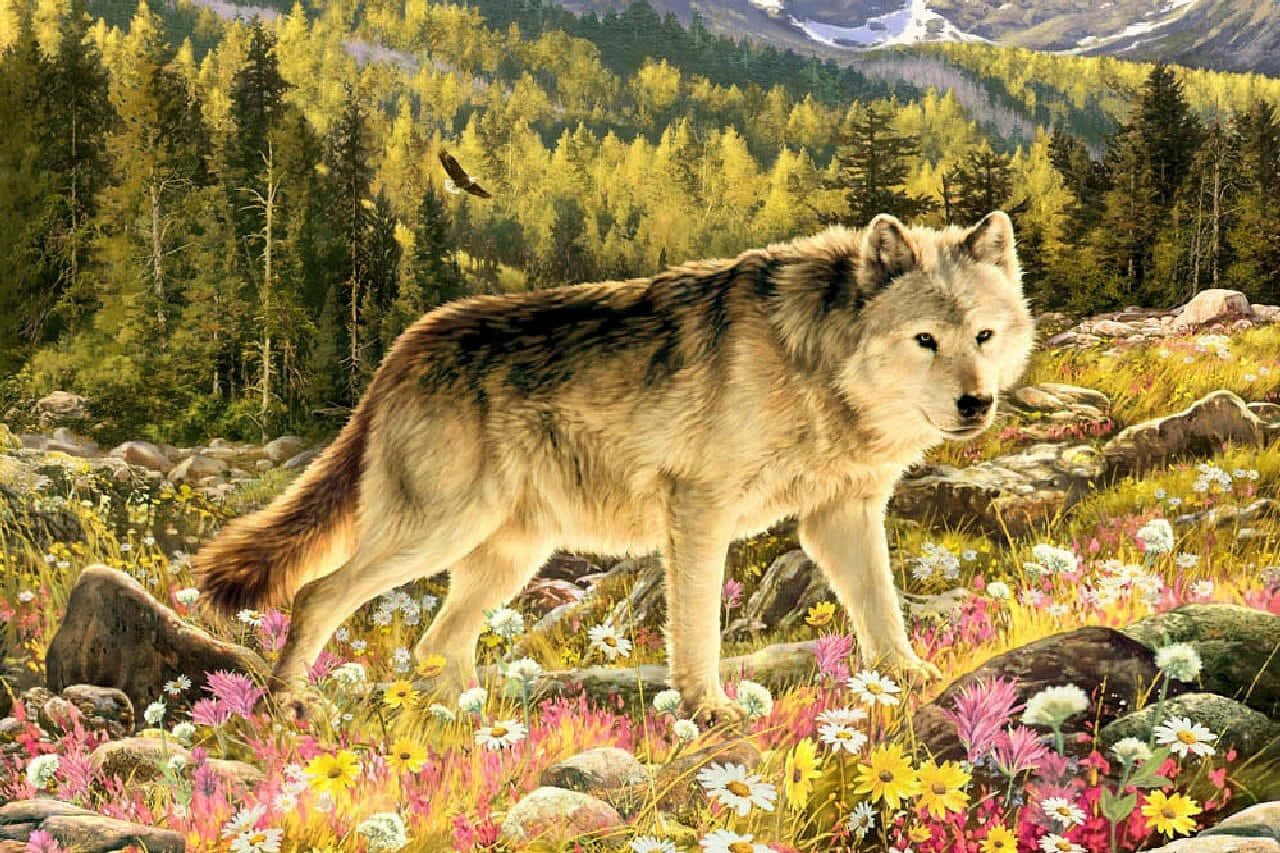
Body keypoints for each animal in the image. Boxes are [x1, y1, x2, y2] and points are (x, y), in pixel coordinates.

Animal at [194, 210, 1035, 723]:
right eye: (925, 339)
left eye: (984, 335)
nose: (976, 404)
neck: (816, 363)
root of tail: (400, 349)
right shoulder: (699, 510)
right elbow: (696, 631)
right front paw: (707, 710)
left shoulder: (842, 515)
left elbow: (882, 609)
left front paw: (914, 677)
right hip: (435, 533)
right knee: (316, 595)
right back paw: (286, 708)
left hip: (507, 557)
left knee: (437, 644)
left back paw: (479, 732)